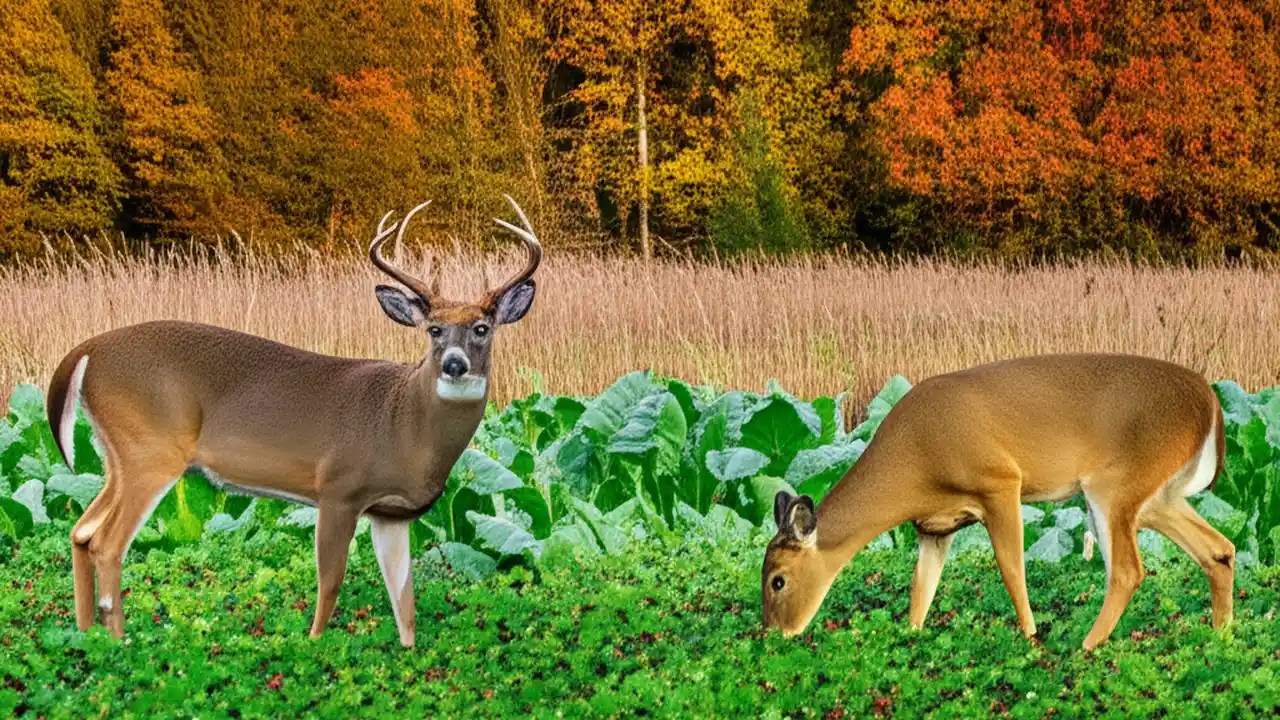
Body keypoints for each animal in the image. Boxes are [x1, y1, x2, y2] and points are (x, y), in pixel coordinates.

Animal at [44, 196, 541, 647]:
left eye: (482, 328)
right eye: (434, 329)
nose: (455, 364)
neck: (404, 424)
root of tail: (85, 350)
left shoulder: (391, 514)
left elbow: (405, 602)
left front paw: (409, 656)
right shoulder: (339, 488)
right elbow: (331, 579)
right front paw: (314, 643)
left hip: (118, 457)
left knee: (81, 531)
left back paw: (84, 635)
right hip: (150, 449)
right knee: (107, 543)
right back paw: (119, 642)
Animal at [762, 354, 1234, 650]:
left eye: (777, 580)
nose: (771, 633)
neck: (915, 461)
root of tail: (1211, 405)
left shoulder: (1000, 483)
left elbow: (1011, 568)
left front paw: (1031, 638)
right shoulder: (933, 528)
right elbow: (921, 588)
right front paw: (911, 636)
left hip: (1115, 485)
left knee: (1128, 570)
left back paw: (1085, 646)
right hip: (1158, 498)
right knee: (1220, 550)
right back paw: (1220, 636)